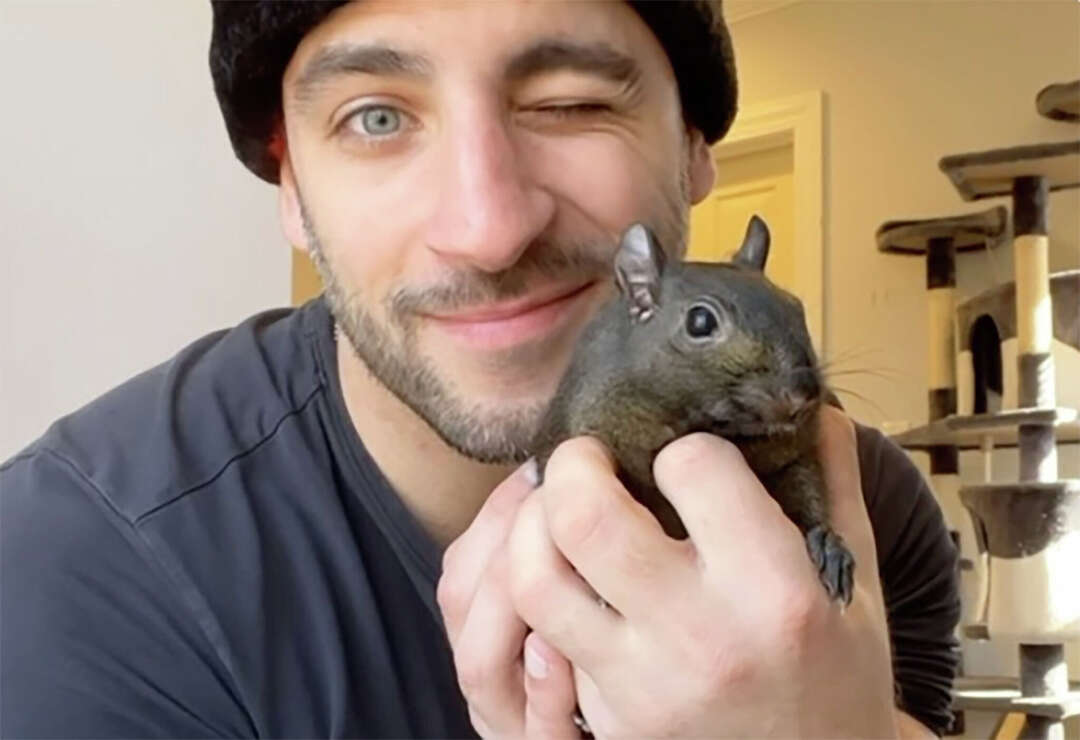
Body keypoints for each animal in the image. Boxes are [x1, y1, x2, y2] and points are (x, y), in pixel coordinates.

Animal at [531, 216, 854, 605]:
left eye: (795, 307)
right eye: (700, 322)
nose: (804, 390)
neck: (717, 427)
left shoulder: (794, 453)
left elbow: (808, 490)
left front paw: (827, 542)